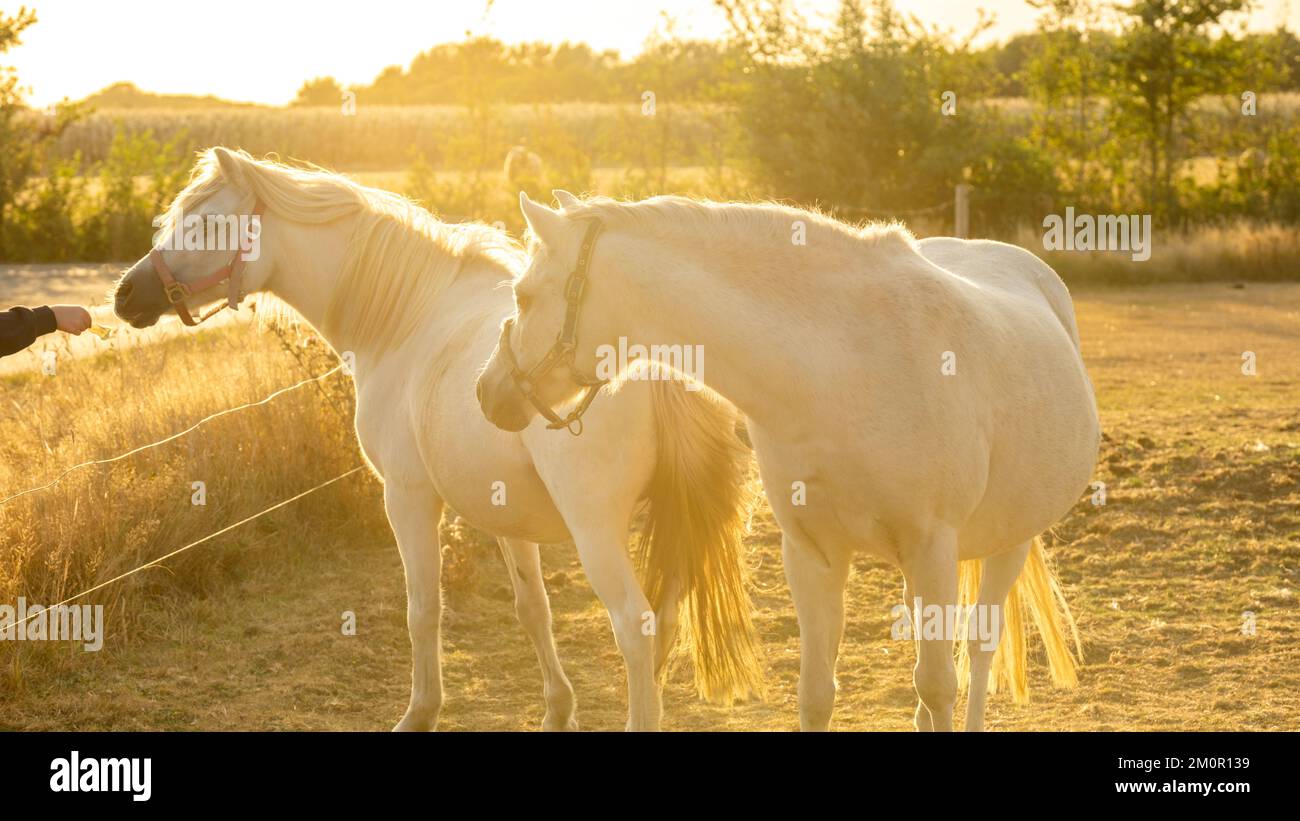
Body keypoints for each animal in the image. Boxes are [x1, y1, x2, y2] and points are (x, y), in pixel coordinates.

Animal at [112, 149, 765, 731]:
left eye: (204, 226)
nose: (125, 294)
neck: (407, 317)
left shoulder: (407, 498)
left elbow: (423, 610)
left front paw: (420, 712)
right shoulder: (507, 515)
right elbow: (533, 610)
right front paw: (558, 710)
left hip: (598, 531)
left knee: (635, 626)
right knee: (667, 623)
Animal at [477, 192, 1100, 731]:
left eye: (525, 295)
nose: (488, 393)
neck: (845, 367)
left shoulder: (932, 549)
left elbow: (940, 684)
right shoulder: (812, 554)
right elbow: (818, 693)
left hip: (1007, 543)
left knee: (978, 647)